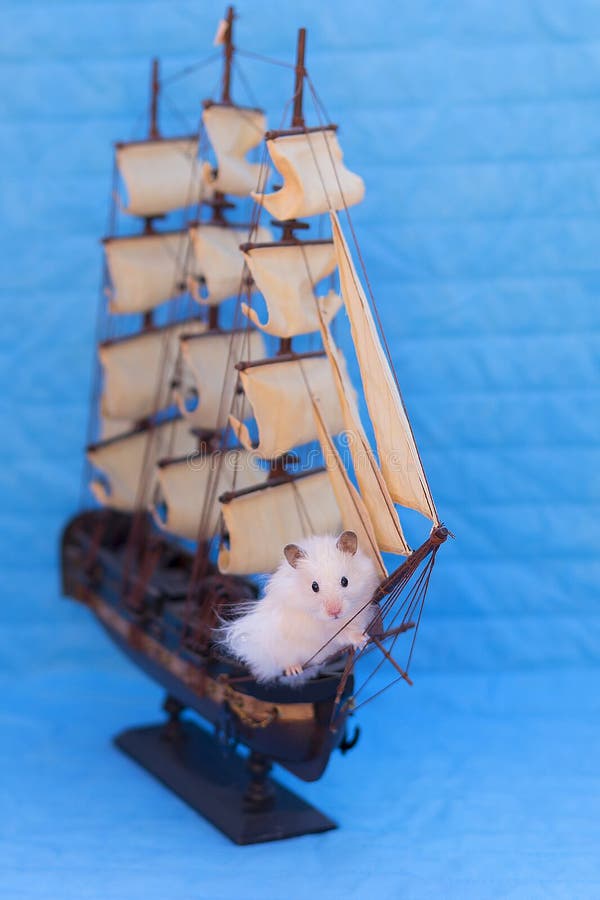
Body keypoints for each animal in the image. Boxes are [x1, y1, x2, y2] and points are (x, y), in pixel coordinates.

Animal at [219, 530, 380, 683]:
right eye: (314, 586)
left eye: (345, 581)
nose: (335, 612)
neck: (338, 620)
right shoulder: (320, 630)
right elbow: (342, 634)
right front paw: (361, 640)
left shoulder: (363, 608)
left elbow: (357, 625)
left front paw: (363, 642)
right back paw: (294, 670)